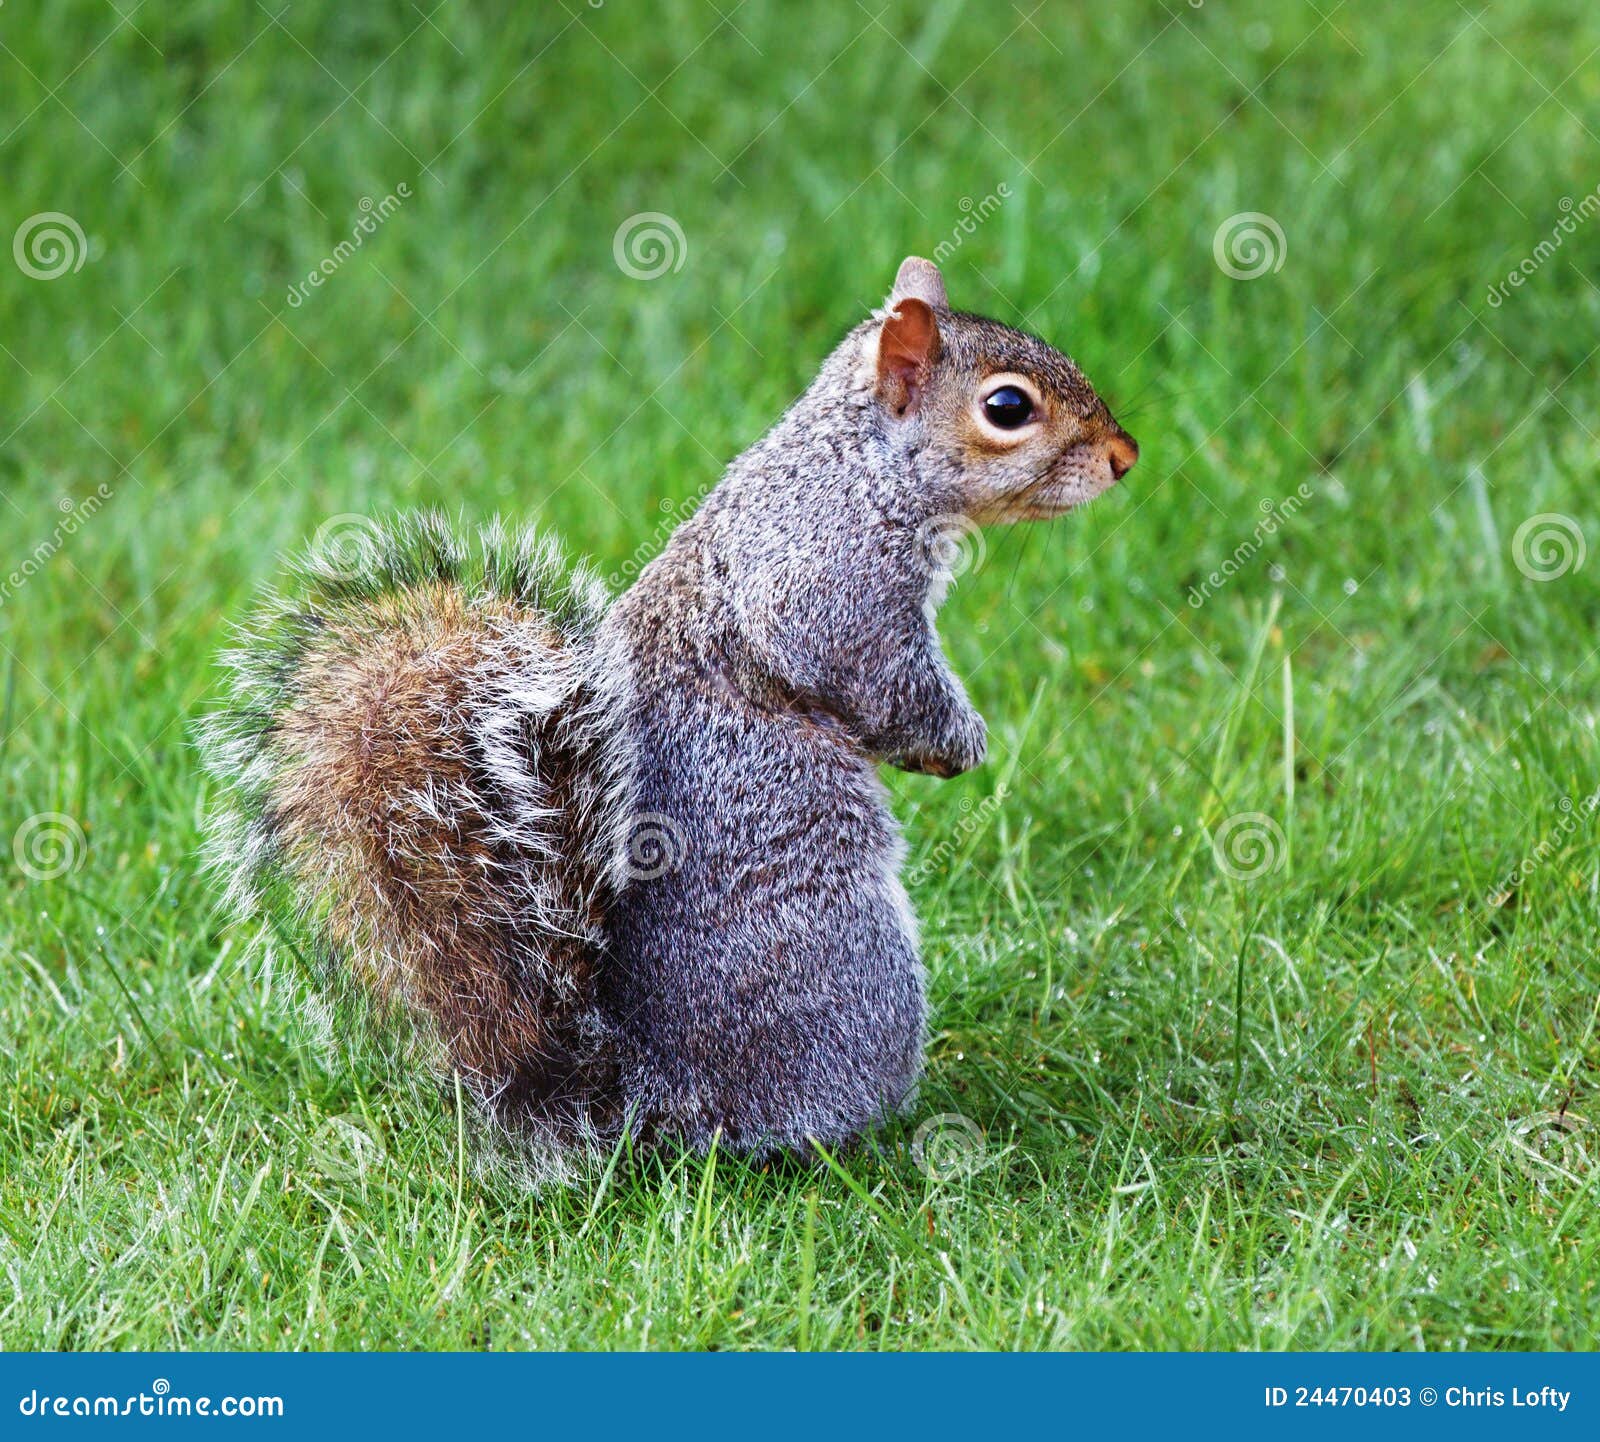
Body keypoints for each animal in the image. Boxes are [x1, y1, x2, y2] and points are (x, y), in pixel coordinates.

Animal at [201, 256, 1137, 1182]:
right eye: (1007, 407)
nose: (1125, 457)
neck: (855, 462)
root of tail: (651, 1104)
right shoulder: (830, 580)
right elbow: (867, 675)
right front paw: (957, 745)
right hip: (853, 969)